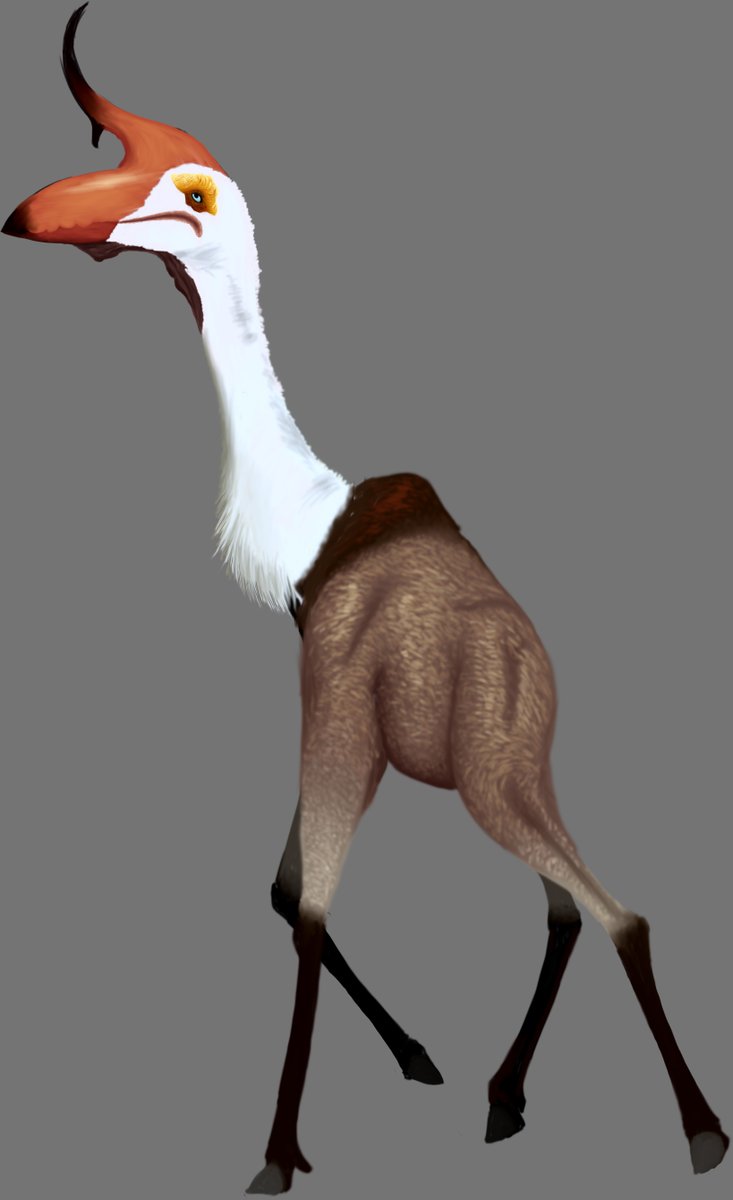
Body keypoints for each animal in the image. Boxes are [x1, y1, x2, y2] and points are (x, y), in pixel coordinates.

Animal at [3, 6, 728, 1194]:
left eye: (190, 192)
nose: (32, 215)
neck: (315, 524)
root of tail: (528, 666)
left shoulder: (335, 704)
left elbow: (308, 908)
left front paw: (279, 1153)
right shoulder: (353, 731)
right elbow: (280, 892)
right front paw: (417, 1059)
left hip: (489, 775)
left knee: (619, 912)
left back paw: (701, 1133)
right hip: (509, 773)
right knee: (568, 909)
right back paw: (502, 1096)